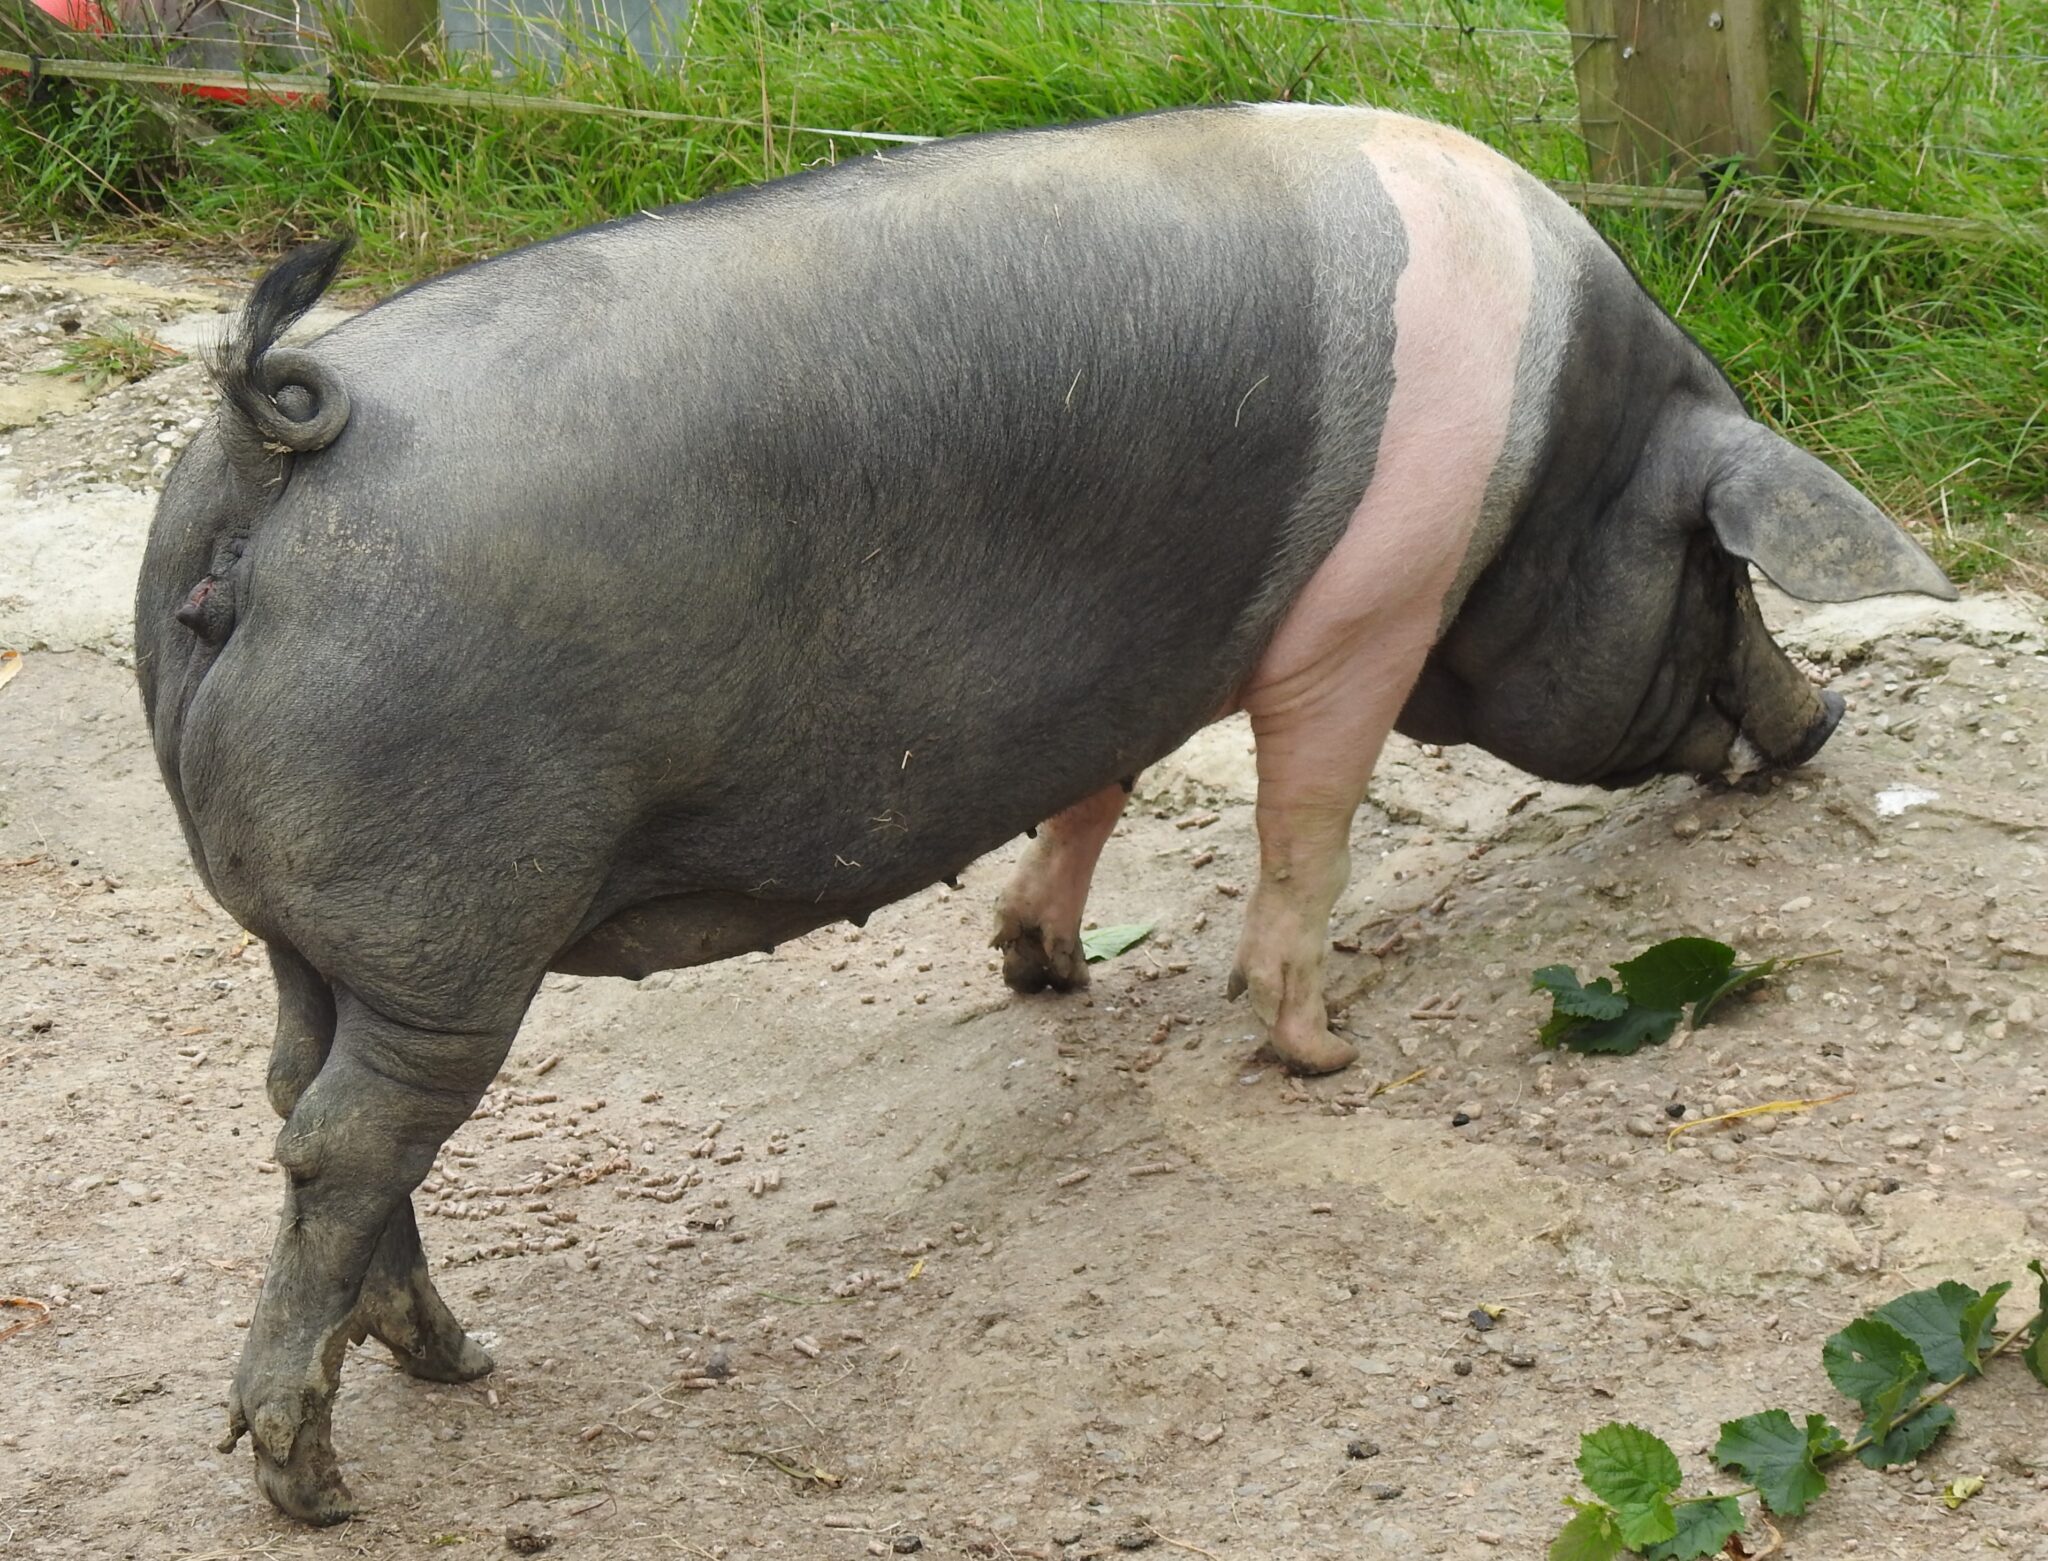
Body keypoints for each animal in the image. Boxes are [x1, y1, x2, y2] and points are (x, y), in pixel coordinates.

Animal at [136, 104, 1955, 1523]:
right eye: (1722, 568)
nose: (1821, 719)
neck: (1560, 453)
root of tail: (269, 434)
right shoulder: (1361, 627)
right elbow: (1310, 826)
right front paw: (1321, 1053)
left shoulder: (1129, 672)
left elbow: (1096, 786)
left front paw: (1042, 970)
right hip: (458, 924)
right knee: (343, 1139)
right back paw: (320, 1477)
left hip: (323, 931)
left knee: (296, 1101)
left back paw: (451, 1356)